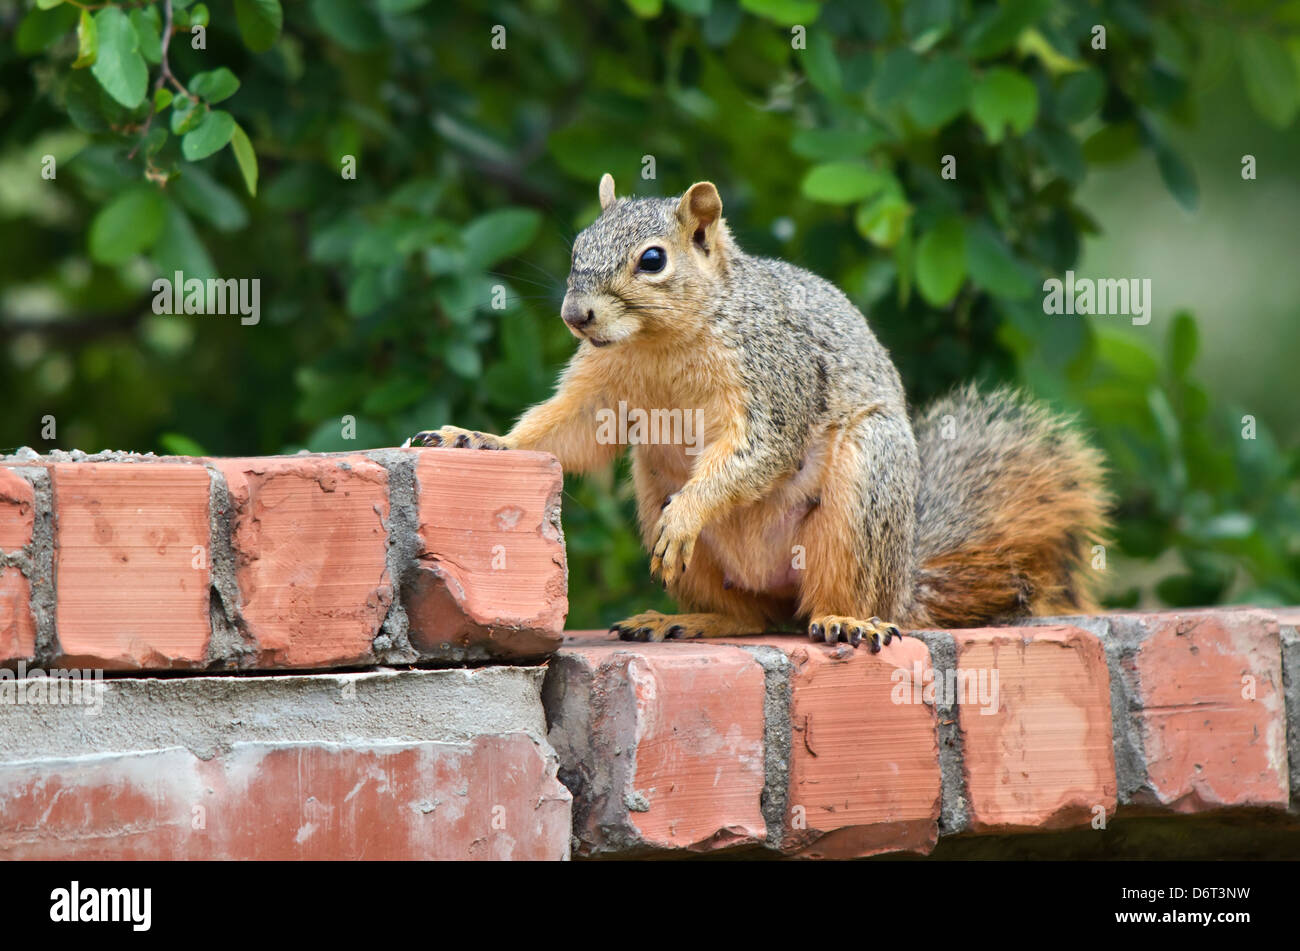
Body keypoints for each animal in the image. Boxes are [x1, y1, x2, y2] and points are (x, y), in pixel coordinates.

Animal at [410, 174, 1110, 650]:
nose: (574, 315)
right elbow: (568, 433)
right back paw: (687, 619)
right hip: (656, 494)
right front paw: (479, 439)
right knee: (750, 618)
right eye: (578, 246)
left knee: (837, 598)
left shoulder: (775, 376)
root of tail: (905, 587)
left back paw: (846, 620)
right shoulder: (602, 389)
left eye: (653, 259)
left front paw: (691, 510)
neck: (660, 343)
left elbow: (762, 449)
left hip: (865, 488)